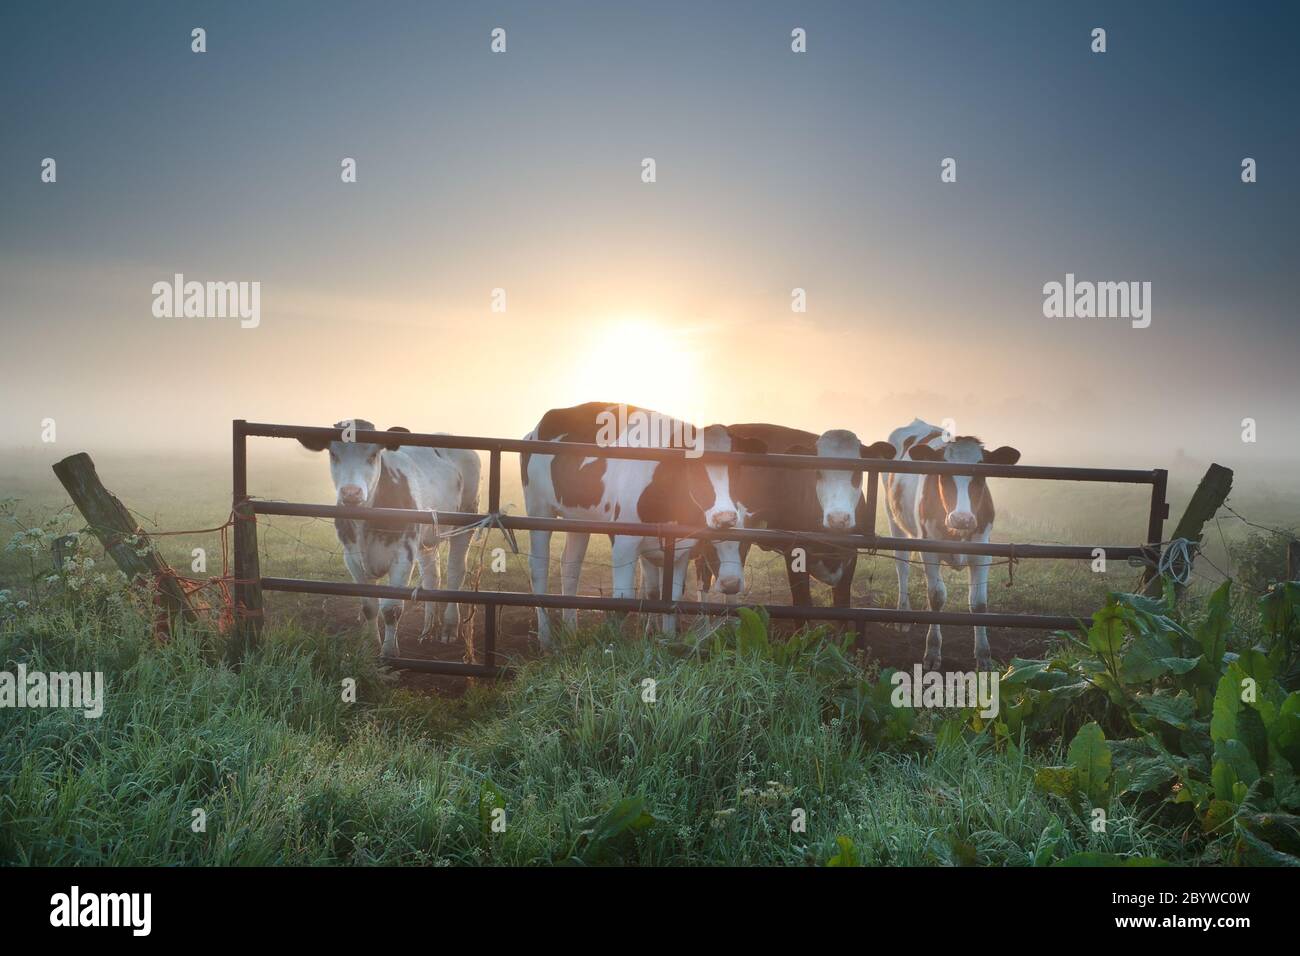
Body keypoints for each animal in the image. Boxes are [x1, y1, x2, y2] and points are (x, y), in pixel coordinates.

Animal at [298, 419, 481, 658]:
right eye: (333, 454)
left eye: (374, 454)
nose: (351, 493)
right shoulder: (352, 558)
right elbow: (369, 607)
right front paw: (370, 643)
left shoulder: (403, 556)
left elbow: (391, 609)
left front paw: (389, 652)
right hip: (427, 537)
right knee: (432, 576)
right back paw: (428, 629)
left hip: (465, 521)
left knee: (455, 572)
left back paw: (449, 627)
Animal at [520, 402, 766, 648]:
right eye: (695, 469)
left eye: (737, 468)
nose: (725, 516)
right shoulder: (624, 542)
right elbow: (623, 600)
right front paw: (612, 642)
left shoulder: (679, 550)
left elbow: (671, 598)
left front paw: (668, 639)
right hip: (539, 509)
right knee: (538, 568)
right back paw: (546, 638)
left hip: (579, 521)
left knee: (570, 566)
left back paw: (571, 633)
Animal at [694, 424, 896, 609]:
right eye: (817, 472)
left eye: (857, 472)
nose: (838, 518)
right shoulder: (794, 553)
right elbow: (802, 603)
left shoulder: (850, 556)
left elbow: (842, 605)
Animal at [883, 418, 1021, 672]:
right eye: (943, 471)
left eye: (982, 472)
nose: (961, 518)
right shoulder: (929, 551)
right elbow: (936, 597)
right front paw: (932, 651)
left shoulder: (982, 553)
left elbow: (979, 604)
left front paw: (983, 656)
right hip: (894, 521)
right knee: (902, 567)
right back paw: (903, 611)